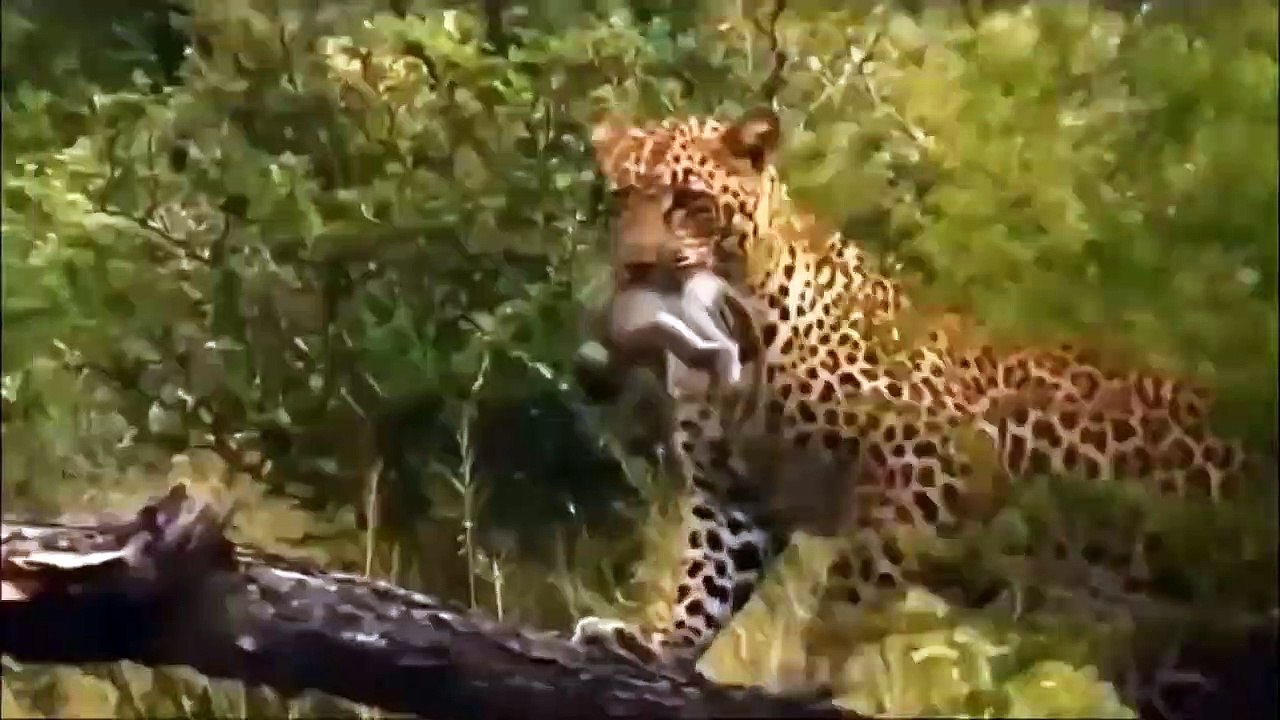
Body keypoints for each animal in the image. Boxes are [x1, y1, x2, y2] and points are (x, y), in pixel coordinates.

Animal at [569, 107, 1267, 711]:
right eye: (620, 199)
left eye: (689, 201)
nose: (636, 265)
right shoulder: (734, 493)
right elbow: (705, 579)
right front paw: (659, 641)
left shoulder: (930, 465)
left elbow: (847, 592)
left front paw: (805, 677)